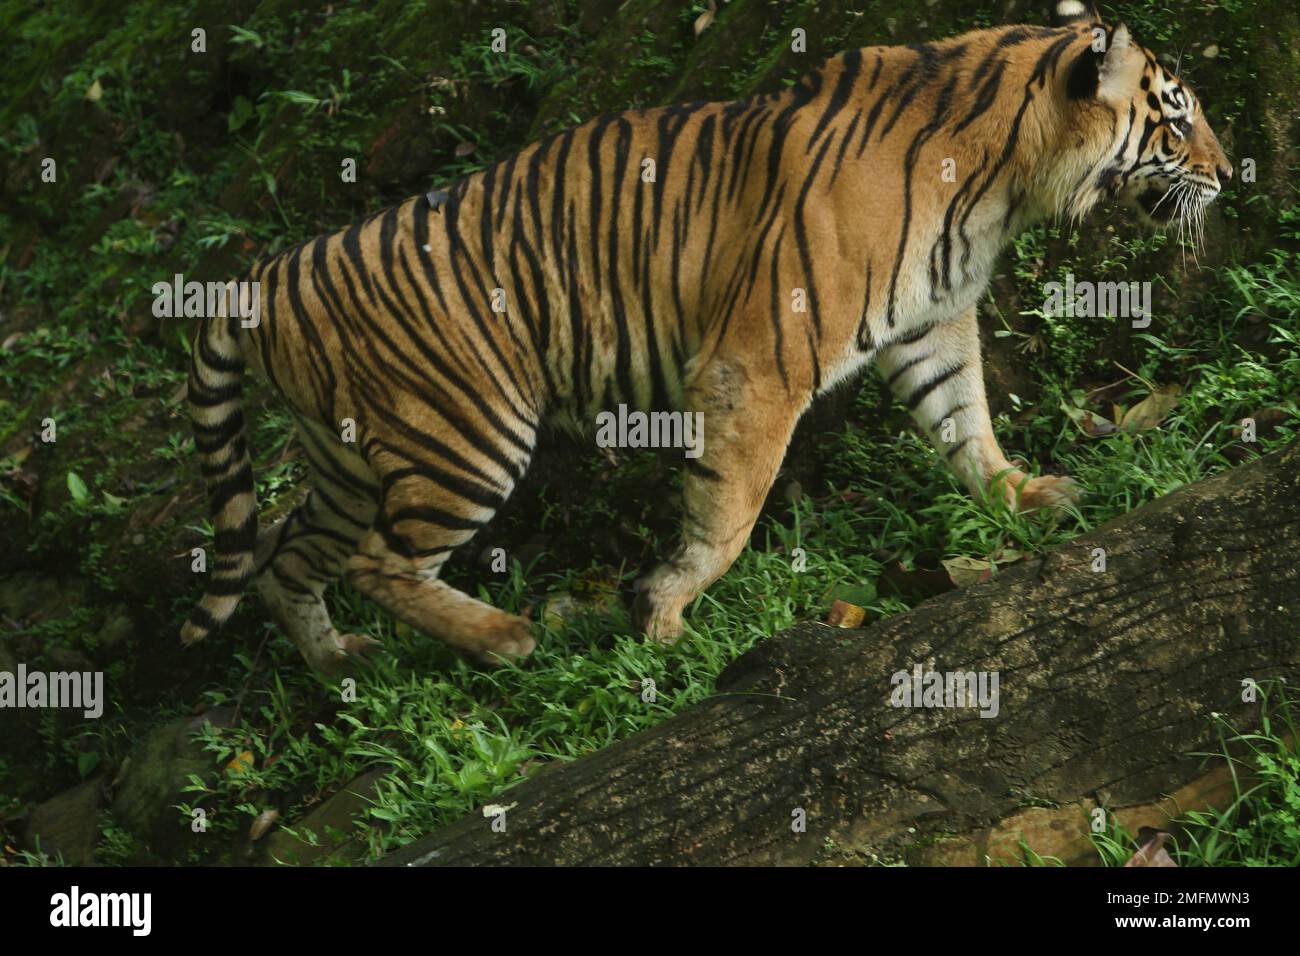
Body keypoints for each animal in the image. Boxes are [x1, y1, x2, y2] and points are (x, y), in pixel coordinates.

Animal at [180, 1, 1230, 673]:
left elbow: (965, 423)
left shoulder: (930, 325)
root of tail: (266, 274)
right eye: (1176, 119)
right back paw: (507, 640)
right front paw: (664, 610)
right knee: (375, 563)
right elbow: (730, 508)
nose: (1230, 174)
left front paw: (1023, 495)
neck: (1002, 179)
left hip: (350, 461)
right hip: (463, 436)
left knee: (284, 557)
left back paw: (335, 664)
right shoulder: (757, 362)